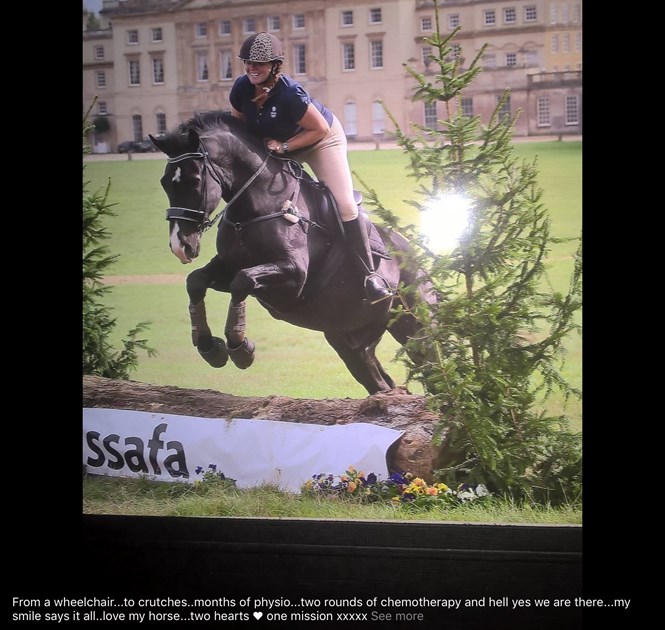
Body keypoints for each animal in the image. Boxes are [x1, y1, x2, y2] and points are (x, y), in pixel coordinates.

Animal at [149, 111, 434, 395]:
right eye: (164, 182)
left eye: (195, 181)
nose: (180, 245)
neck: (254, 211)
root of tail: (417, 259)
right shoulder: (227, 267)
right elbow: (196, 280)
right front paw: (210, 347)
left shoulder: (293, 278)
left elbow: (243, 281)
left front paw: (240, 348)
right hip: (350, 339)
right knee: (379, 381)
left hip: (414, 325)